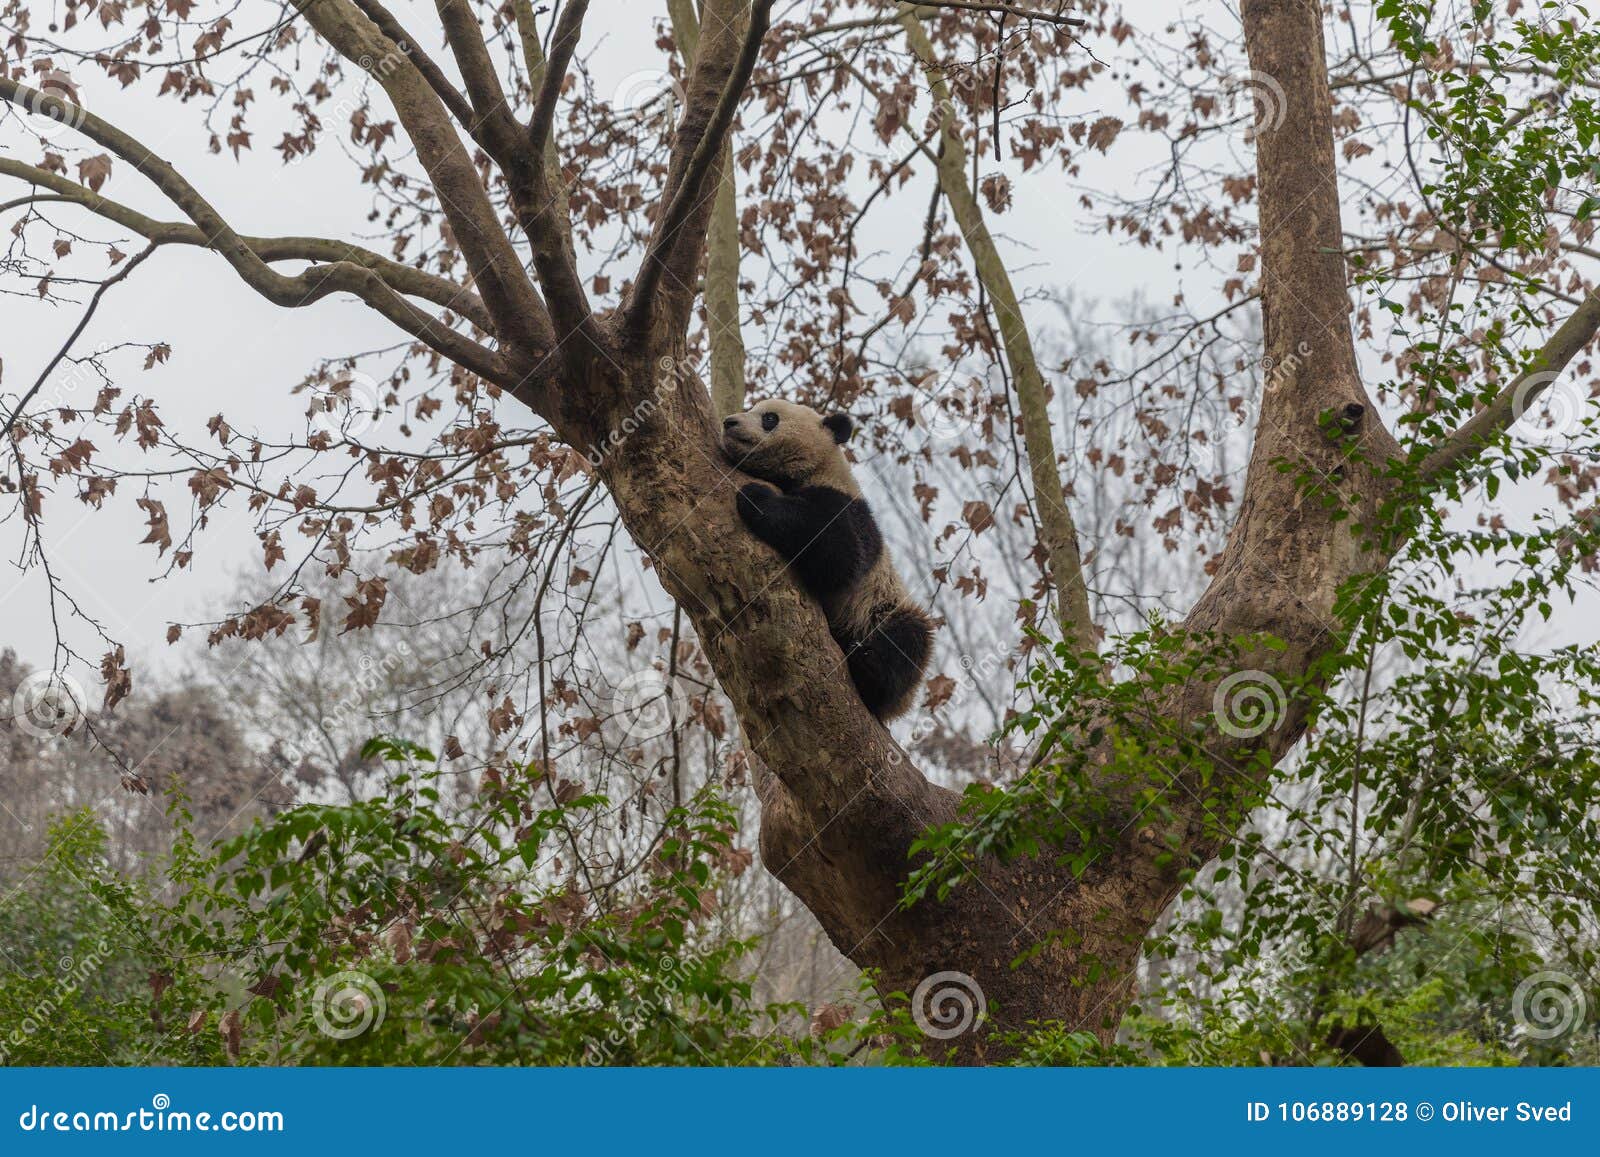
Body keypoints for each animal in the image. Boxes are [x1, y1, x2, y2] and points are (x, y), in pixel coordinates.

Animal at [721, 398, 934, 721]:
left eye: (769, 418)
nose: (729, 422)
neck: (818, 468)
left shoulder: (849, 510)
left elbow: (838, 558)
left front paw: (756, 496)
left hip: (880, 611)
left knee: (907, 641)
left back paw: (868, 670)